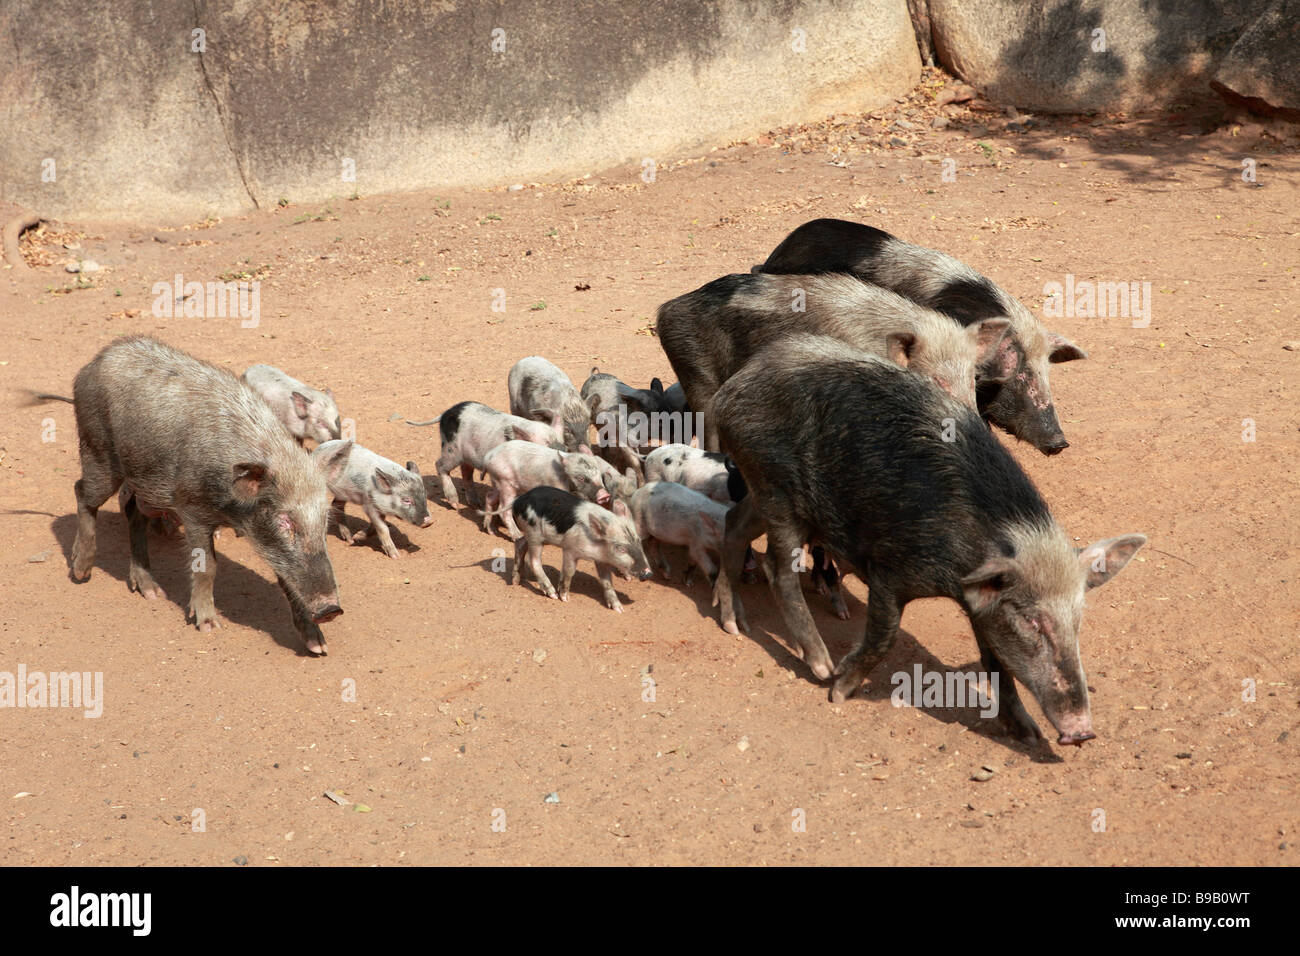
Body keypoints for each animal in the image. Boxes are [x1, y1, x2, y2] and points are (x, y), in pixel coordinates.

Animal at [35, 336, 342, 655]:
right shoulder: (193, 509)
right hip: (97, 449)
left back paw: (152, 592)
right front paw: (208, 626)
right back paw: (81, 573)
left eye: (324, 519)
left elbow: (286, 578)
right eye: (285, 520)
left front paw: (319, 647)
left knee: (132, 513)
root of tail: (95, 361)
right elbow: (207, 566)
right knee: (82, 492)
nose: (332, 609)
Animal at [406, 400, 563, 508]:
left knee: (466, 473)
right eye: (545, 446)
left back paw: (475, 504)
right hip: (451, 450)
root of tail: (446, 413)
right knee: (440, 465)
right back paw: (455, 504)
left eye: (563, 444)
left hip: (466, 456)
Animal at [479, 440, 633, 537]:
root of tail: (488, 456)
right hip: (505, 483)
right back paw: (516, 536)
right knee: (503, 509)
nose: (604, 495)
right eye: (581, 478)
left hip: (497, 481)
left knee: (489, 496)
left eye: (598, 474)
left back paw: (490, 530)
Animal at [510, 486, 653, 611]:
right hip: (534, 534)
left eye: (638, 540)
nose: (648, 573)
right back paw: (552, 594)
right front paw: (565, 598)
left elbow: (606, 581)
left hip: (536, 537)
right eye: (621, 548)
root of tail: (518, 501)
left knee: (520, 543)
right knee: (534, 561)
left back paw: (515, 582)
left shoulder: (601, 559)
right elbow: (569, 572)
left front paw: (619, 609)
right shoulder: (570, 549)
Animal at [710, 334, 1144, 747]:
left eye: (1079, 619)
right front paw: (838, 690)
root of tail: (731, 389)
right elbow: (884, 637)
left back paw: (733, 624)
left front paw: (1029, 735)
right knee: (777, 568)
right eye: (1031, 620)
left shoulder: (980, 605)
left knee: (732, 523)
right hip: (776, 489)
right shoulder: (888, 572)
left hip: (769, 496)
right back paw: (818, 663)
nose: (1082, 732)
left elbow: (996, 666)